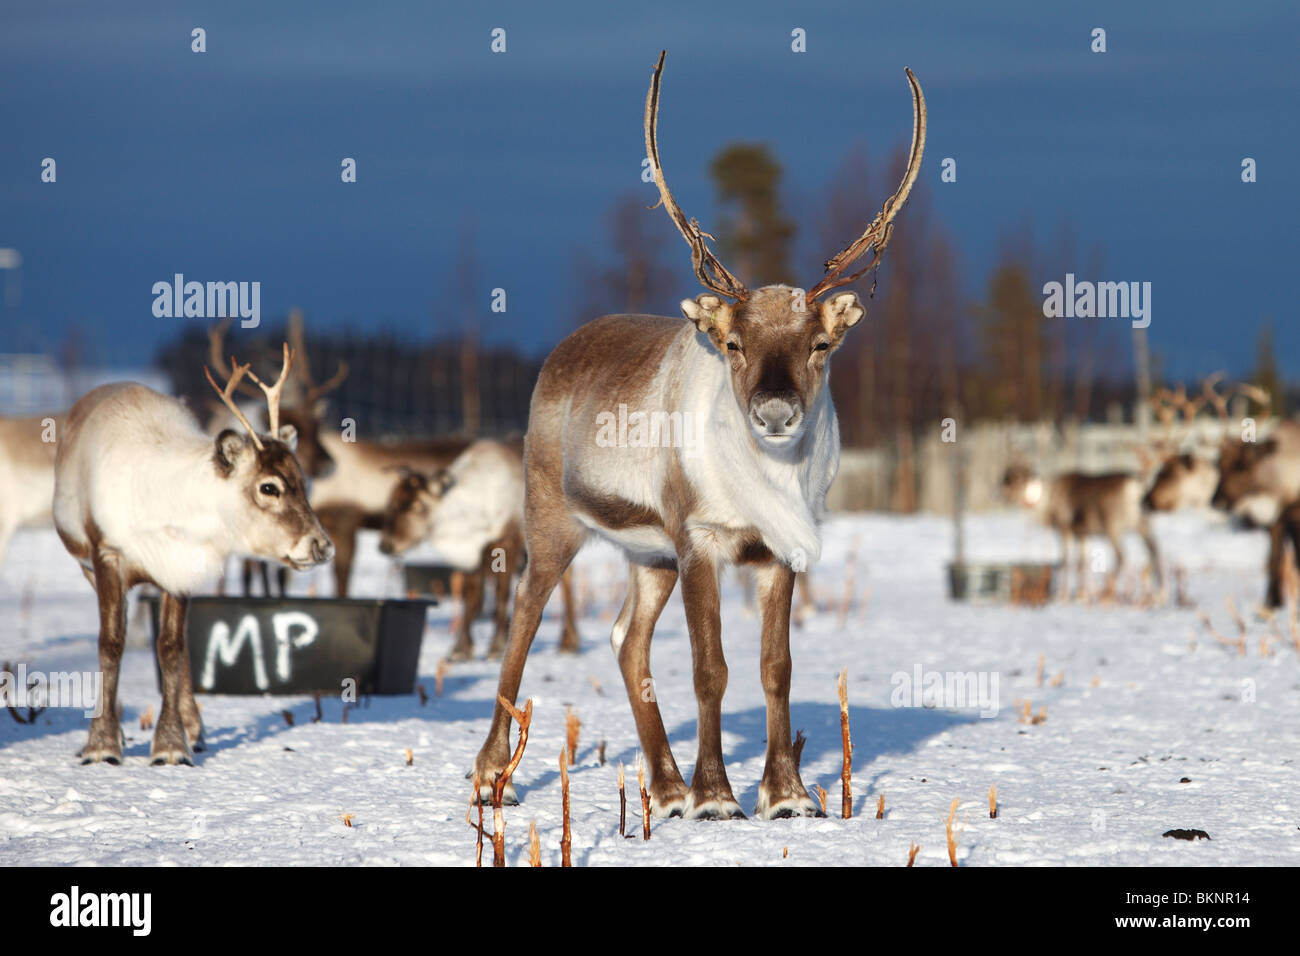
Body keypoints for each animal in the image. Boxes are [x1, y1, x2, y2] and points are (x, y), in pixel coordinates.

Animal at [52, 344, 334, 764]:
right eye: (269, 487)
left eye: (302, 481)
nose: (321, 545)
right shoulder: (106, 554)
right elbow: (110, 643)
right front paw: (102, 744)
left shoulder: (181, 565)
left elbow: (172, 649)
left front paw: (172, 745)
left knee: (181, 647)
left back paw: (194, 728)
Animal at [378, 439, 581, 659]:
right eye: (391, 502)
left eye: (415, 505)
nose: (385, 545)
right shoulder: (473, 553)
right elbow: (471, 598)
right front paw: (461, 648)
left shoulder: (506, 541)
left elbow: (501, 596)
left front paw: (496, 647)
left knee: (567, 582)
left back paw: (569, 643)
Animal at [470, 51, 925, 820]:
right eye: (735, 343)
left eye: (820, 345)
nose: (775, 411)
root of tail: (562, 350)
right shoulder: (698, 540)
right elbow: (710, 667)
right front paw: (718, 796)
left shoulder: (775, 551)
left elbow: (777, 667)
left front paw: (787, 795)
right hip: (555, 520)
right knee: (524, 621)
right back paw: (491, 775)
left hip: (647, 554)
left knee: (627, 641)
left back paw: (666, 785)